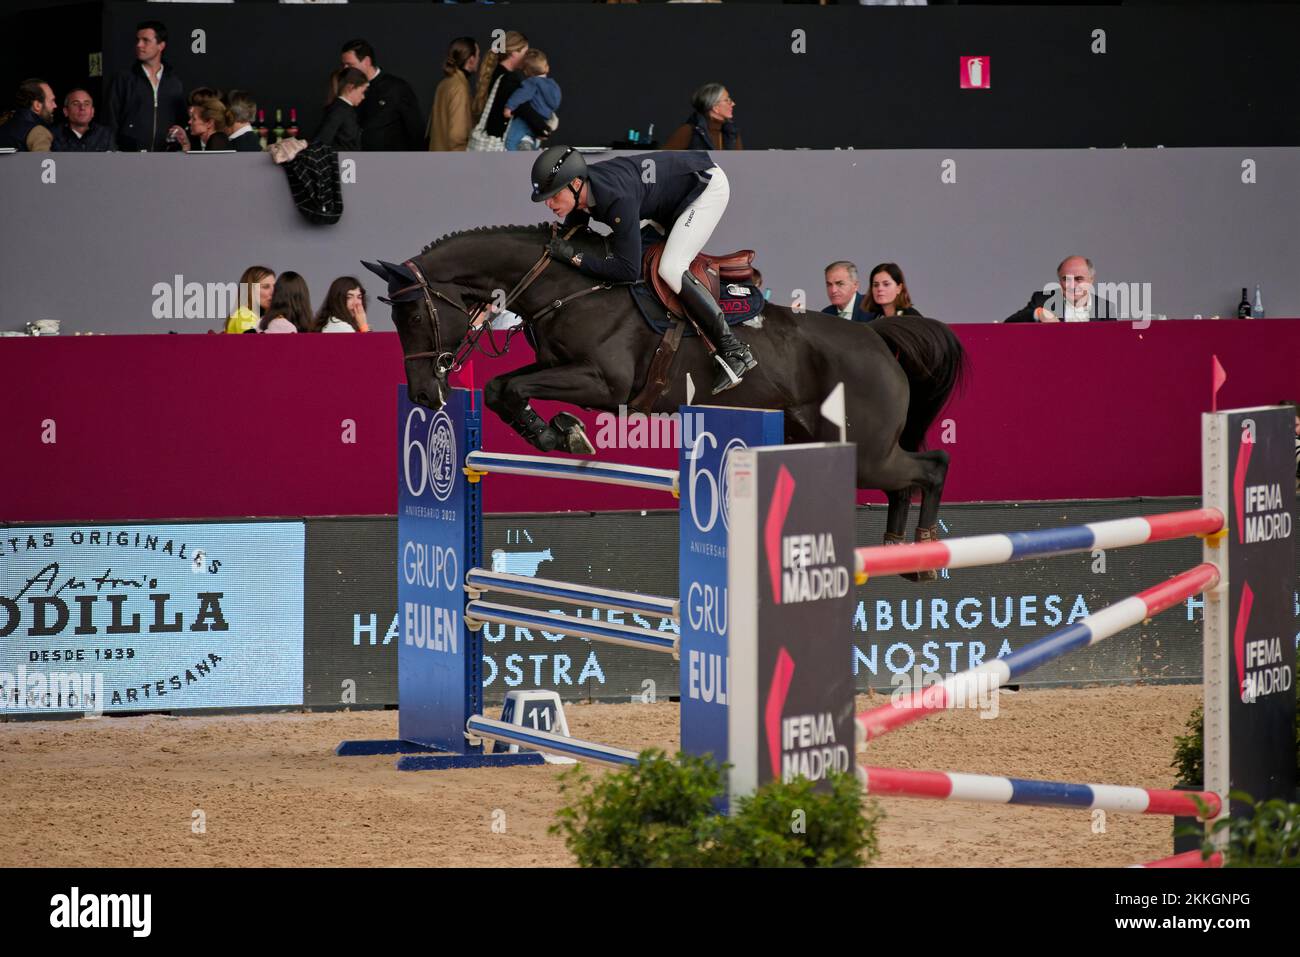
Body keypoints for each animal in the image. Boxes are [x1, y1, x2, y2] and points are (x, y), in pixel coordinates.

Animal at [364, 224, 966, 566]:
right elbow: (499, 387)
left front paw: (565, 433)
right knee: (905, 480)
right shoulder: (559, 364)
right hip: (829, 444)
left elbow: (512, 385)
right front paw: (558, 431)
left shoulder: (604, 382)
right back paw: (901, 550)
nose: (423, 395)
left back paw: (924, 548)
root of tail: (877, 335)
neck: (569, 285)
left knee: (931, 465)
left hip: (865, 450)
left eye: (412, 315)